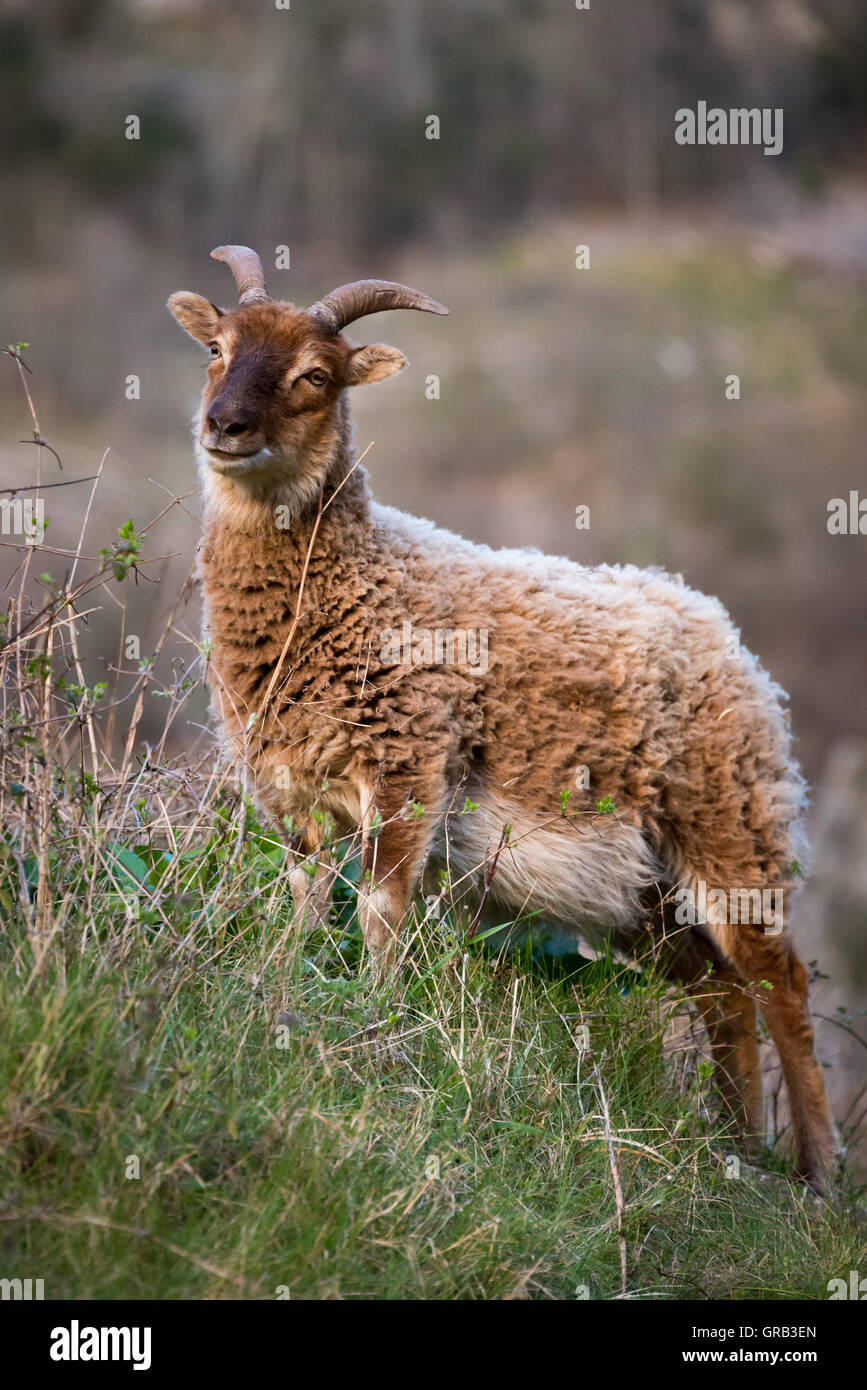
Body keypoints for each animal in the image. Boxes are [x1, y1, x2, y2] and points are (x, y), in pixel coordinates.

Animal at [168, 243, 835, 1192]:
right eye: (214, 350)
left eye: (315, 376)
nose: (224, 427)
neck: (356, 582)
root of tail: (724, 633)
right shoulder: (289, 788)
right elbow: (302, 902)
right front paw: (287, 992)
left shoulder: (406, 766)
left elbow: (380, 913)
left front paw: (373, 1022)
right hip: (636, 887)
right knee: (716, 990)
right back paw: (736, 1144)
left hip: (730, 826)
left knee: (779, 982)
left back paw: (814, 1172)